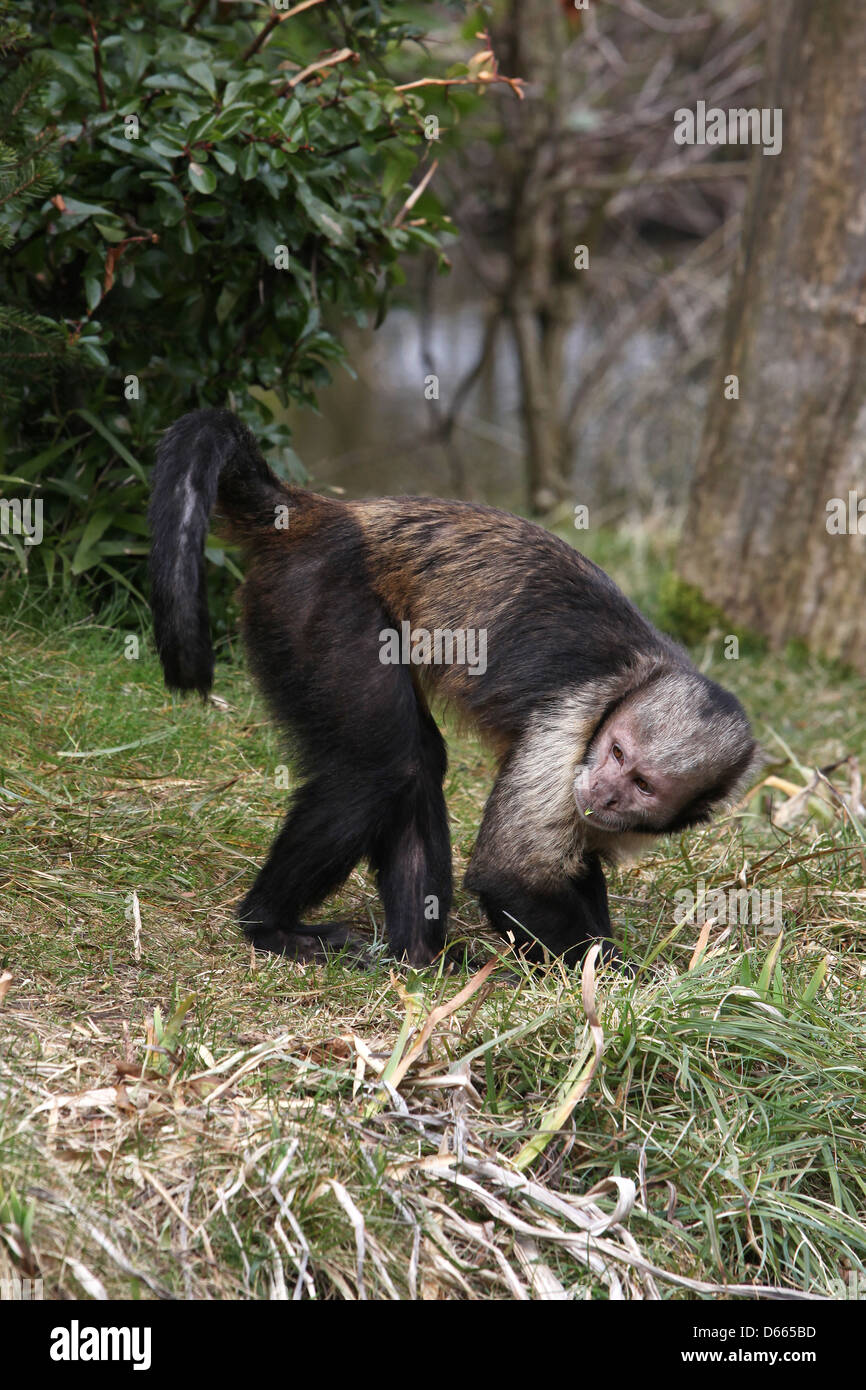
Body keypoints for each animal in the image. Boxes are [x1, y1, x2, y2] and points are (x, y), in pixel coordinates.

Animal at [148, 408, 761, 970]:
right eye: (616, 753)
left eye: (642, 785)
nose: (606, 792)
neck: (638, 680)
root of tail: (332, 516)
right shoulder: (573, 719)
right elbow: (507, 874)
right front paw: (619, 977)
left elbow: (575, 857)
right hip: (314, 595)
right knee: (379, 770)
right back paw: (269, 925)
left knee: (416, 762)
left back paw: (417, 952)